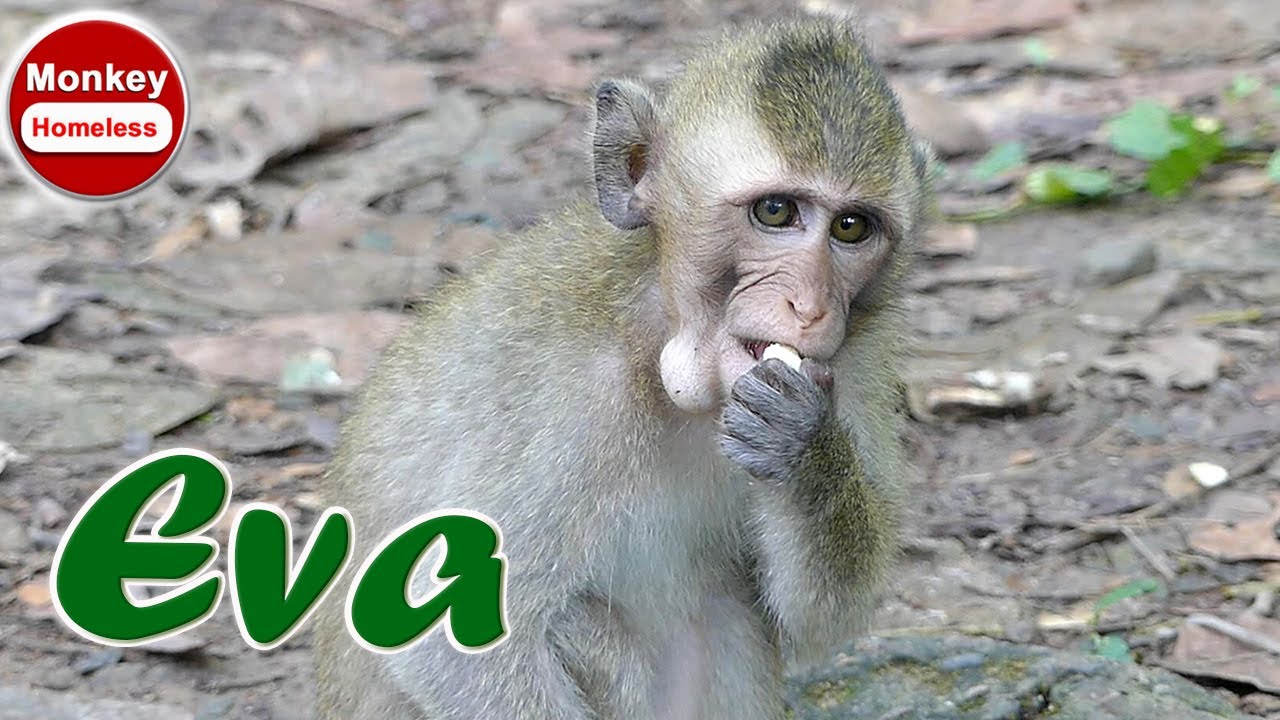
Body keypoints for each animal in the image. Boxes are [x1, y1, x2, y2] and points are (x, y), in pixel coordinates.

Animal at [313, 16, 930, 720]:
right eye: (776, 212)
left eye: (851, 227)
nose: (812, 306)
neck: (661, 334)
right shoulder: (566, 406)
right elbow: (447, 639)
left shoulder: (858, 359)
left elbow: (821, 618)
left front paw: (800, 446)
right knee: (573, 622)